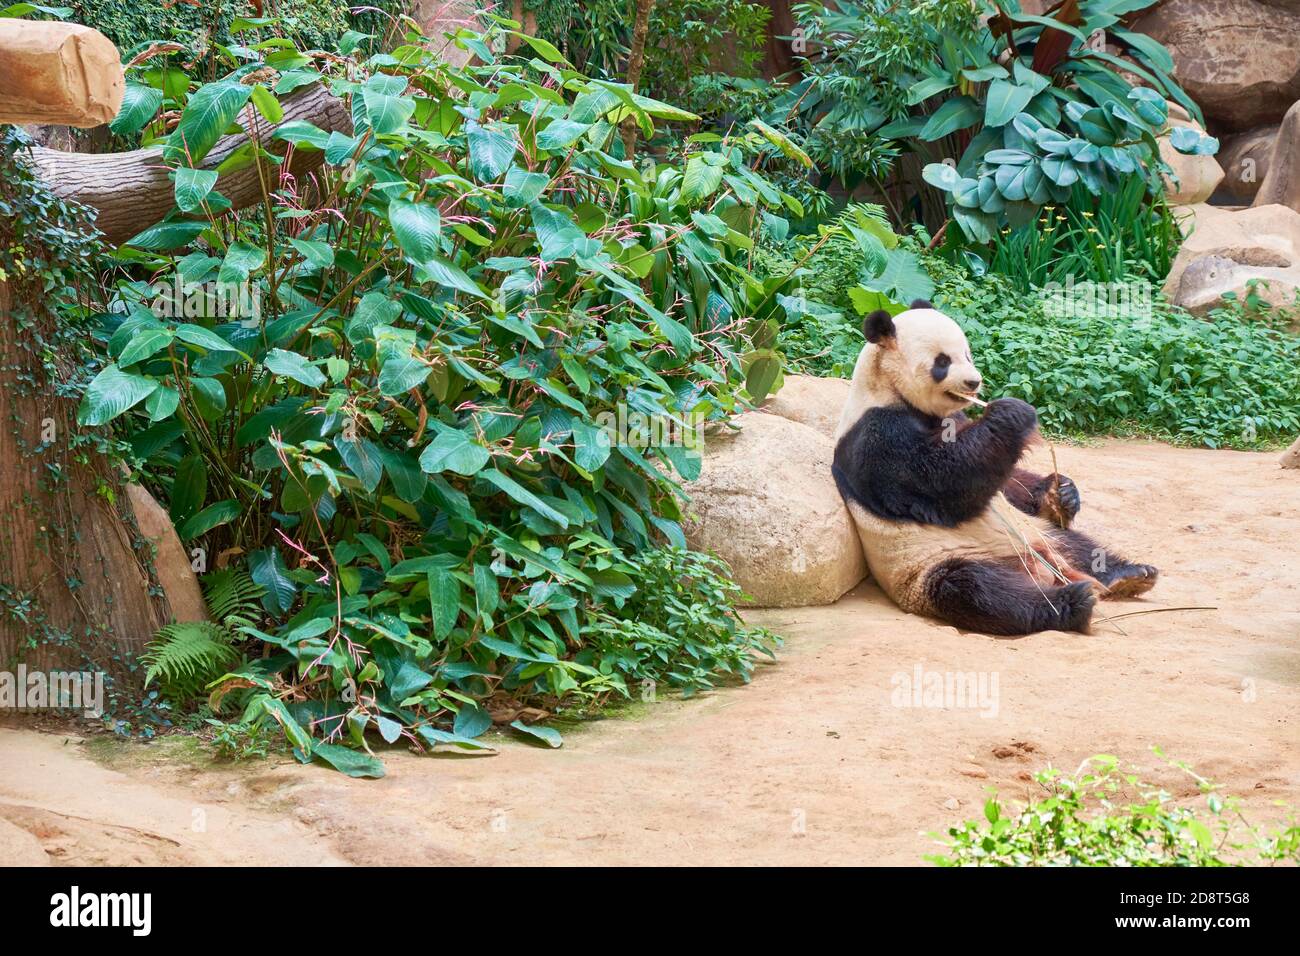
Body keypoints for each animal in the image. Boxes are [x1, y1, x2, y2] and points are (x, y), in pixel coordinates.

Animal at [832, 301, 1158, 635]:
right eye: (942, 361)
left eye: (967, 354)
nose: (974, 382)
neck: (887, 388)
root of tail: (1040, 568)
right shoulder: (877, 435)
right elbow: (937, 484)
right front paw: (1013, 413)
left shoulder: (956, 420)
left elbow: (1003, 478)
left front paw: (1062, 492)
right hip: (931, 566)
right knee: (978, 589)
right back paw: (1072, 602)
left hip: (1036, 532)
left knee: (1074, 543)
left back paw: (1128, 575)